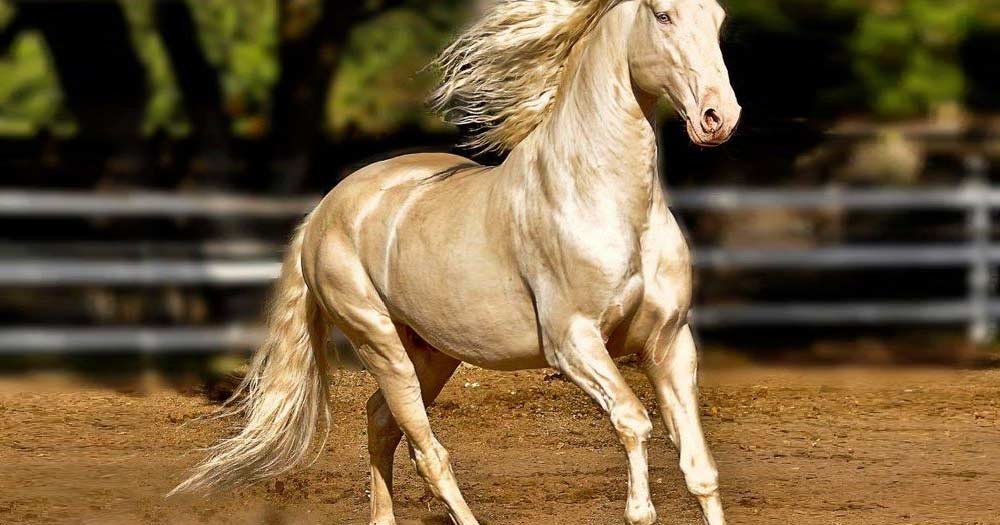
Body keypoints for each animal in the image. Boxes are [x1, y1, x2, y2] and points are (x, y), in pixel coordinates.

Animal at [170, 1, 740, 524]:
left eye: (718, 18)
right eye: (663, 15)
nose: (719, 118)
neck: (609, 203)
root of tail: (322, 212)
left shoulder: (669, 343)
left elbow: (699, 469)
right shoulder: (574, 343)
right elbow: (634, 424)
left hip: (434, 352)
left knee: (380, 421)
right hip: (379, 342)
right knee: (427, 453)